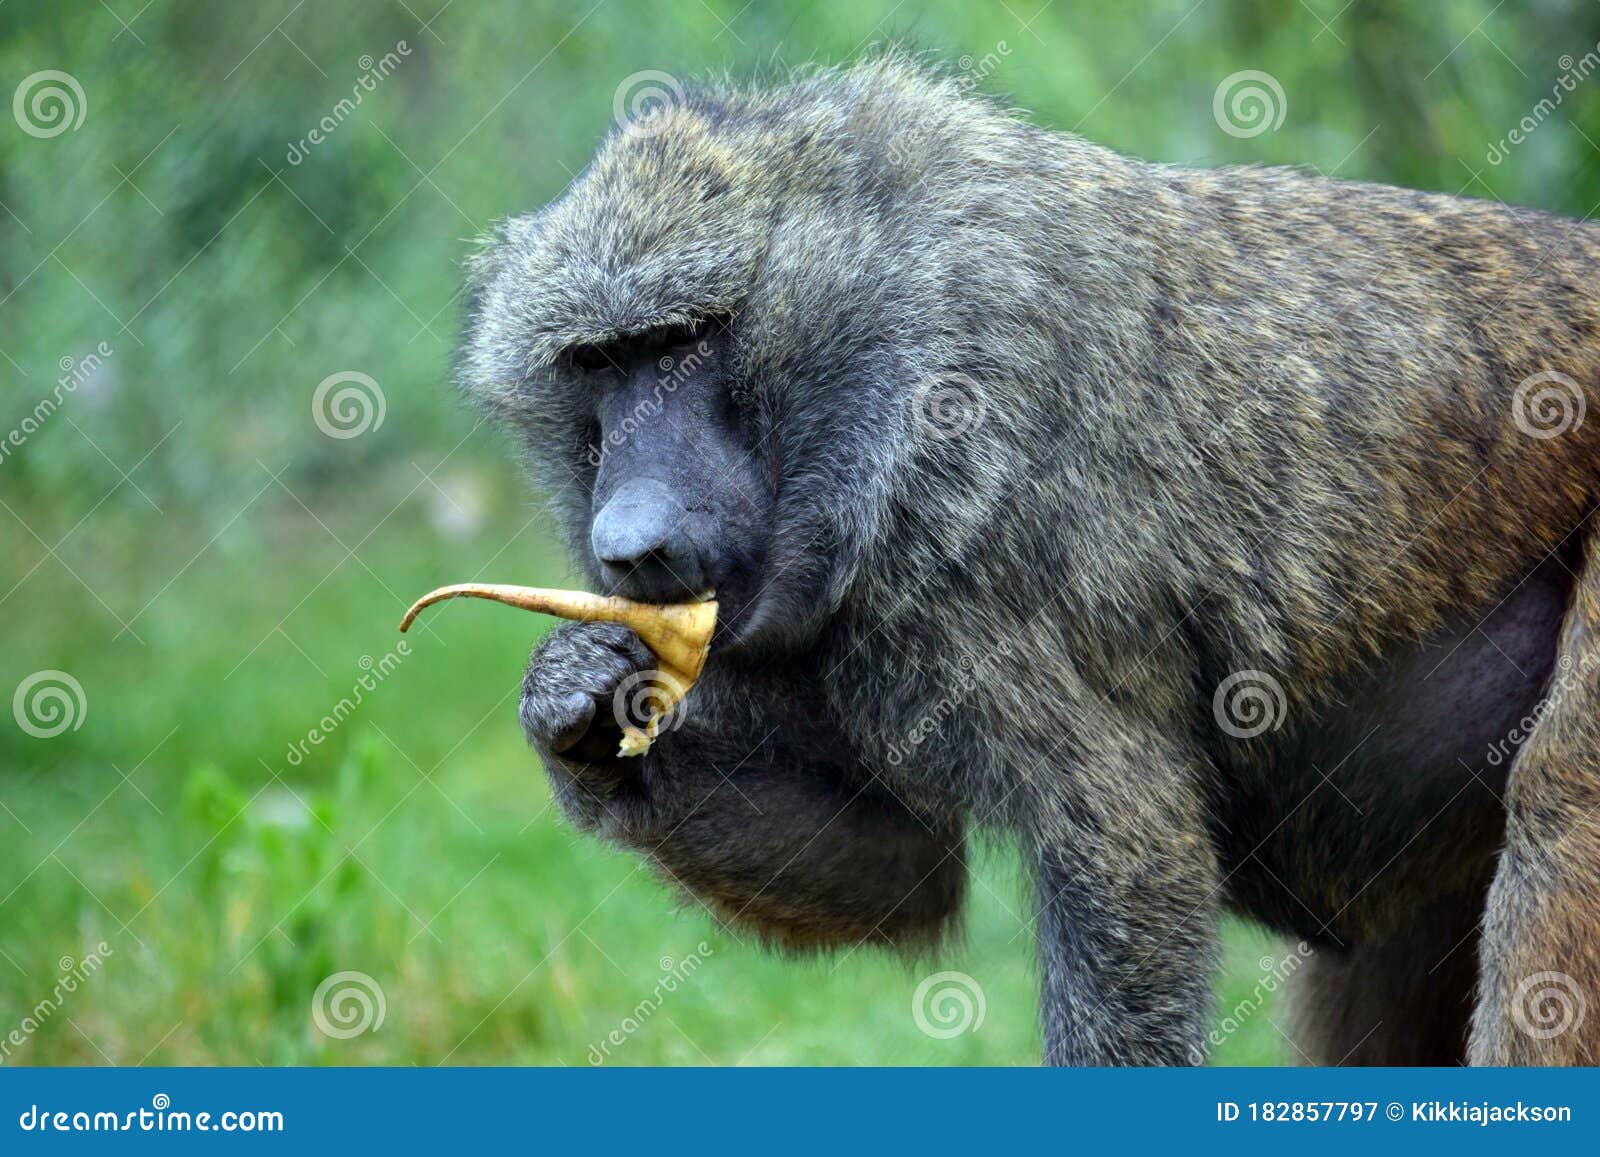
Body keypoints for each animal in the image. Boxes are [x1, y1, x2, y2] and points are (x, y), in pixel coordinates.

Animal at [454, 54, 1600, 1065]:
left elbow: (1126, 851)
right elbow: (904, 869)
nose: (629, 542)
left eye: (685, 340)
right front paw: (579, 701)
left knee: (1557, 811)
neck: (895, 342)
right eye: (596, 363)